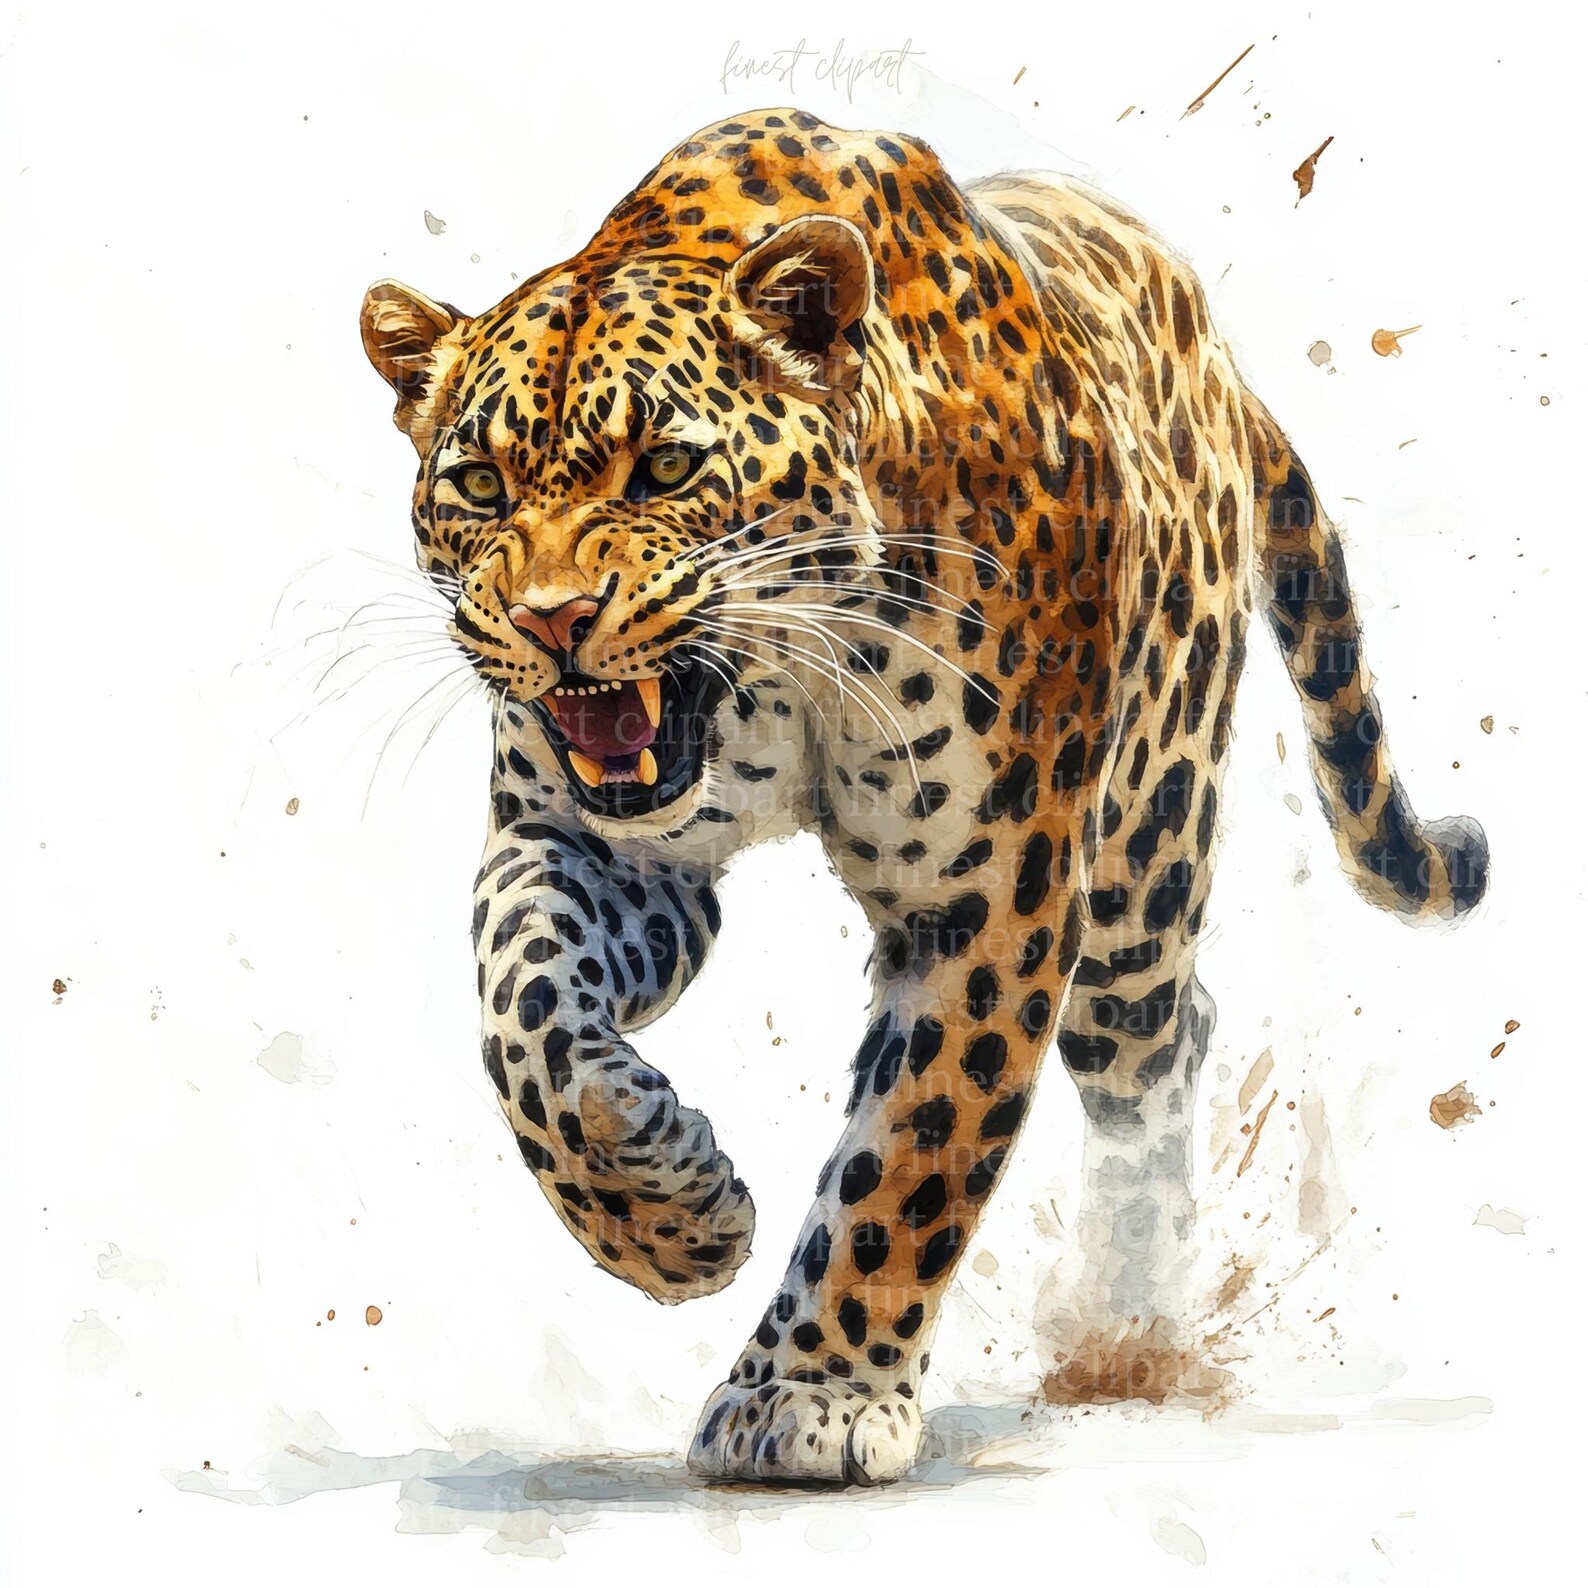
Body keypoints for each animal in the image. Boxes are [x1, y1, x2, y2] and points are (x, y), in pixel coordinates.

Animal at [358, 108, 1488, 1486]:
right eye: (478, 487)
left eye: (667, 467)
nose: (550, 620)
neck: (778, 674)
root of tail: (1210, 347)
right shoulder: (587, 839)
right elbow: (523, 1017)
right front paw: (663, 1203)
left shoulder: (993, 885)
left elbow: (913, 1148)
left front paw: (812, 1395)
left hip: (1140, 854)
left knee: (1155, 1043)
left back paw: (1127, 1325)